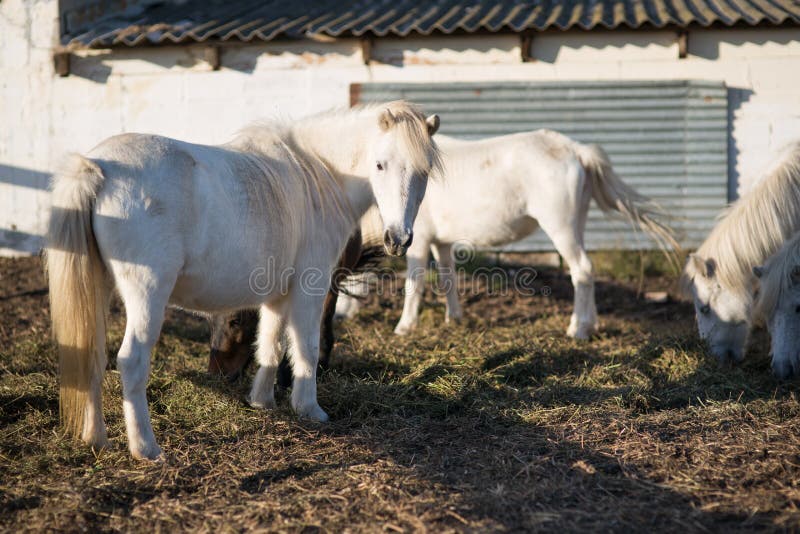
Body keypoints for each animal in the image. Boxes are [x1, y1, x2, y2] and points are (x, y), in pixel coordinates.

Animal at [46, 101, 442, 459]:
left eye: (423, 172)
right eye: (380, 164)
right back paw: (146, 448)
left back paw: (96, 439)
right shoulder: (309, 288)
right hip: (147, 295)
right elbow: (307, 347)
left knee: (92, 355)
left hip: (98, 289)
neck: (315, 175)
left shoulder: (277, 294)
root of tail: (100, 167)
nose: (397, 239)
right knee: (131, 362)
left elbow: (270, 344)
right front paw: (309, 408)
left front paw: (262, 401)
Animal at [387, 129, 677, 340]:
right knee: (586, 271)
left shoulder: (419, 239)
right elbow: (448, 276)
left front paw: (404, 327)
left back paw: (577, 331)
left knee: (582, 269)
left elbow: (415, 280)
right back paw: (590, 325)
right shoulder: (441, 241)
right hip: (577, 224)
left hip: (561, 227)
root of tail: (575, 150)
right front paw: (454, 318)